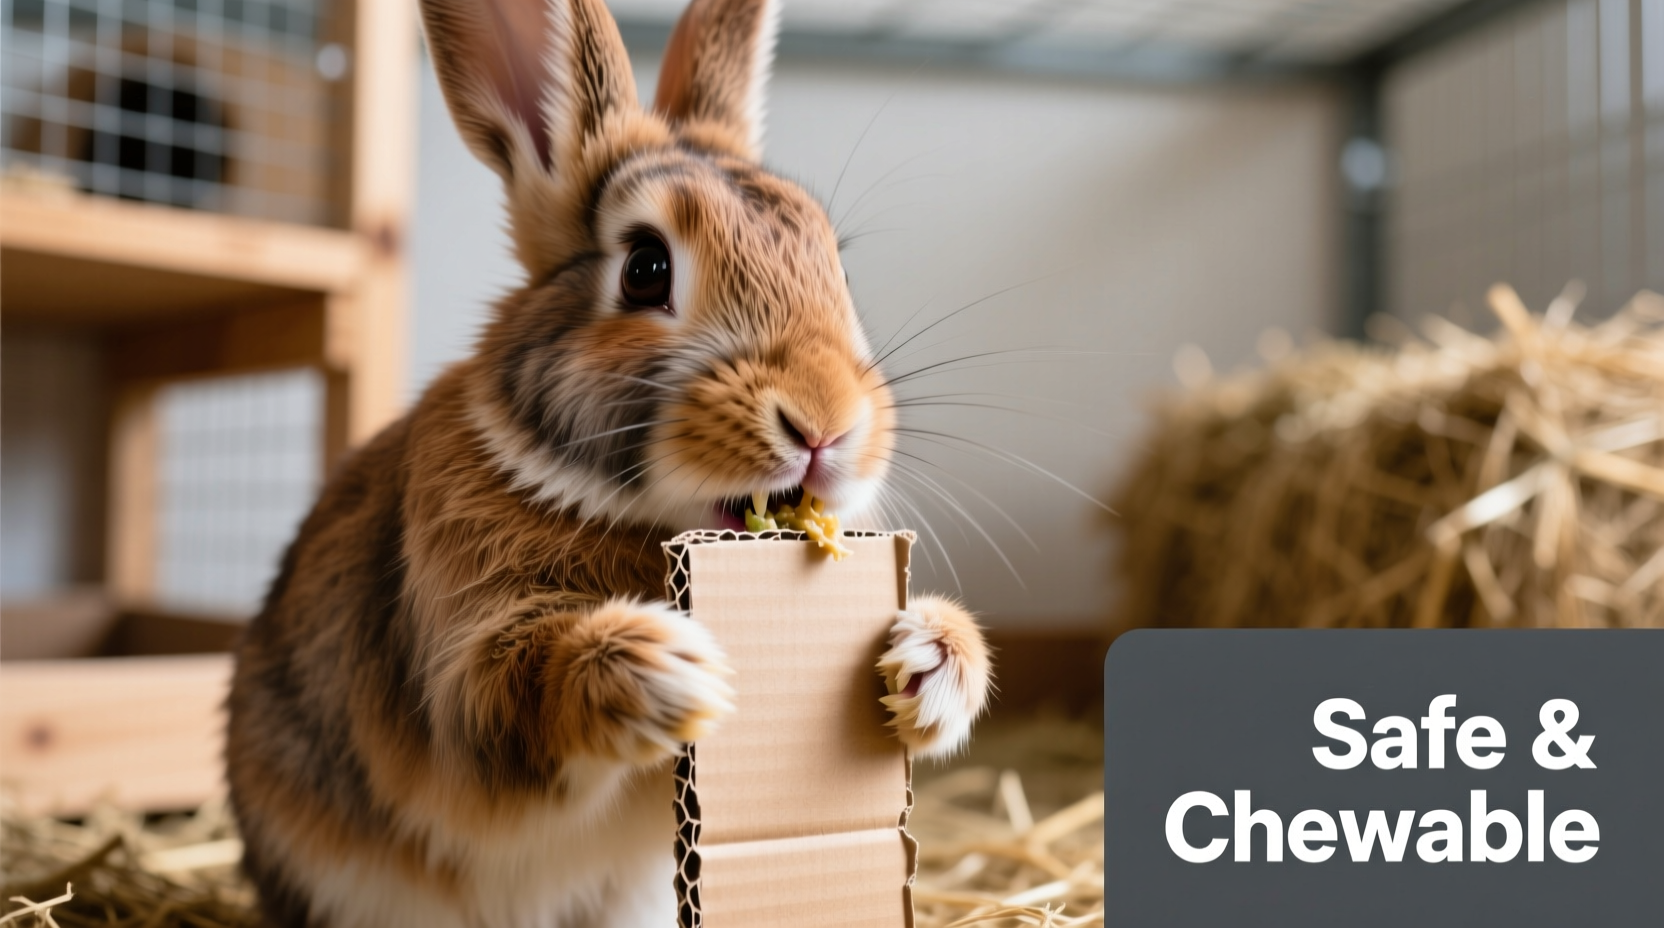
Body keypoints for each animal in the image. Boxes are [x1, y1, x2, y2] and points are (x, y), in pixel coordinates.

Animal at [224, 0, 992, 925]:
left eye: (835, 265)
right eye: (646, 268)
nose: (825, 425)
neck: (645, 522)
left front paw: (929, 659)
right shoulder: (463, 654)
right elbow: (513, 691)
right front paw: (668, 670)